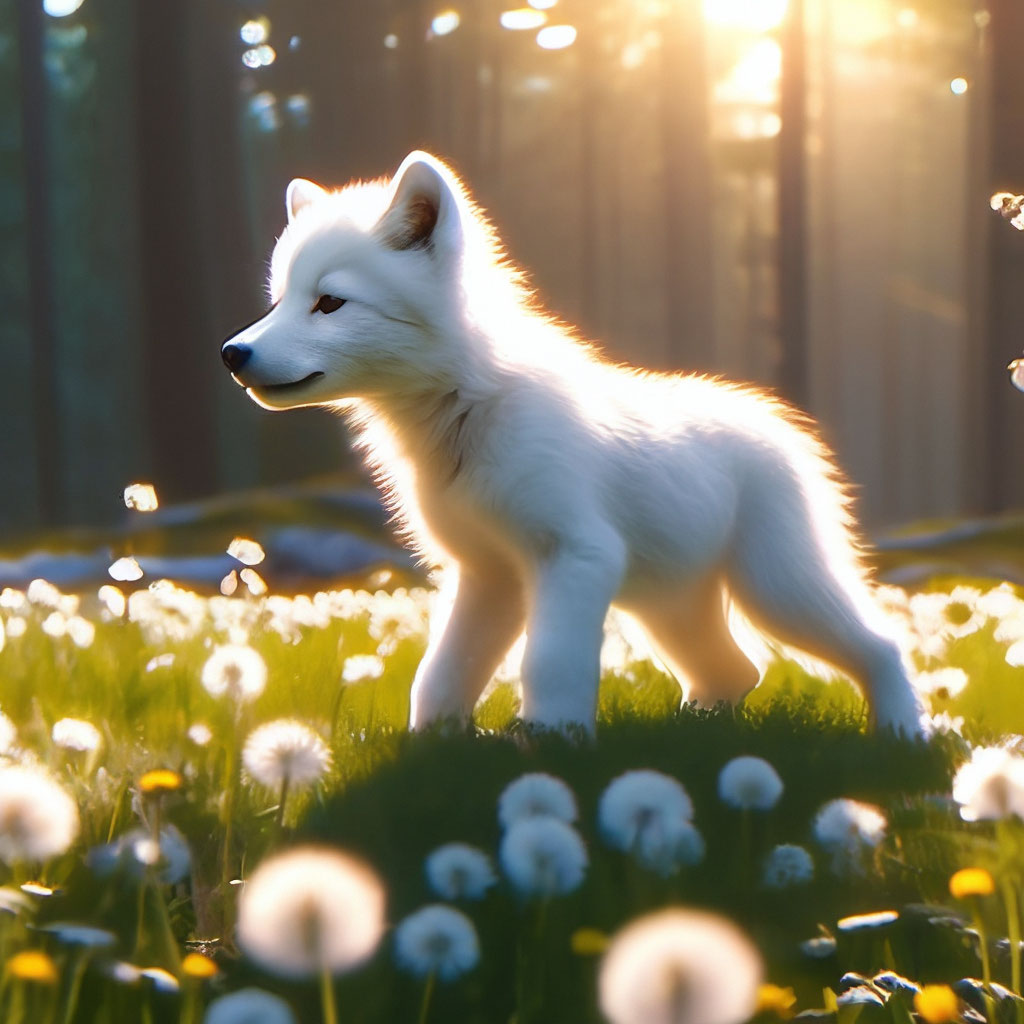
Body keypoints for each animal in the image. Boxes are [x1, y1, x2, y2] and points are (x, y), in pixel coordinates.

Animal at [221, 151, 924, 737]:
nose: (232, 354)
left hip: (777, 585)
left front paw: (552, 746)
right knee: (736, 670)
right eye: (280, 301)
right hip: (670, 604)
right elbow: (440, 677)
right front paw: (432, 751)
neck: (467, 409)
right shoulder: (489, 575)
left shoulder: (576, 556)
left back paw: (904, 736)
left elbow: (550, 664)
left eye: (330, 303)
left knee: (879, 643)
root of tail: (782, 425)